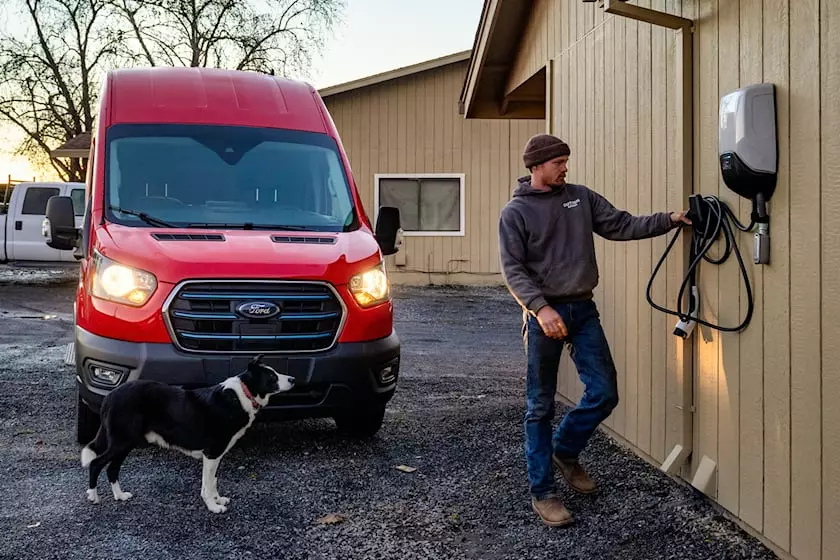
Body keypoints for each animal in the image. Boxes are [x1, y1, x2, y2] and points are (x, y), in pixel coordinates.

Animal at [79, 354, 296, 512]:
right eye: (272, 376)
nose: (293, 379)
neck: (242, 394)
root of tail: (111, 396)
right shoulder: (212, 453)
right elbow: (207, 483)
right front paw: (213, 507)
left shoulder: (215, 455)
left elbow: (212, 481)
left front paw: (217, 499)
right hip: (121, 441)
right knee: (96, 463)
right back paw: (93, 496)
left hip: (126, 442)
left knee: (112, 469)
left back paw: (120, 496)